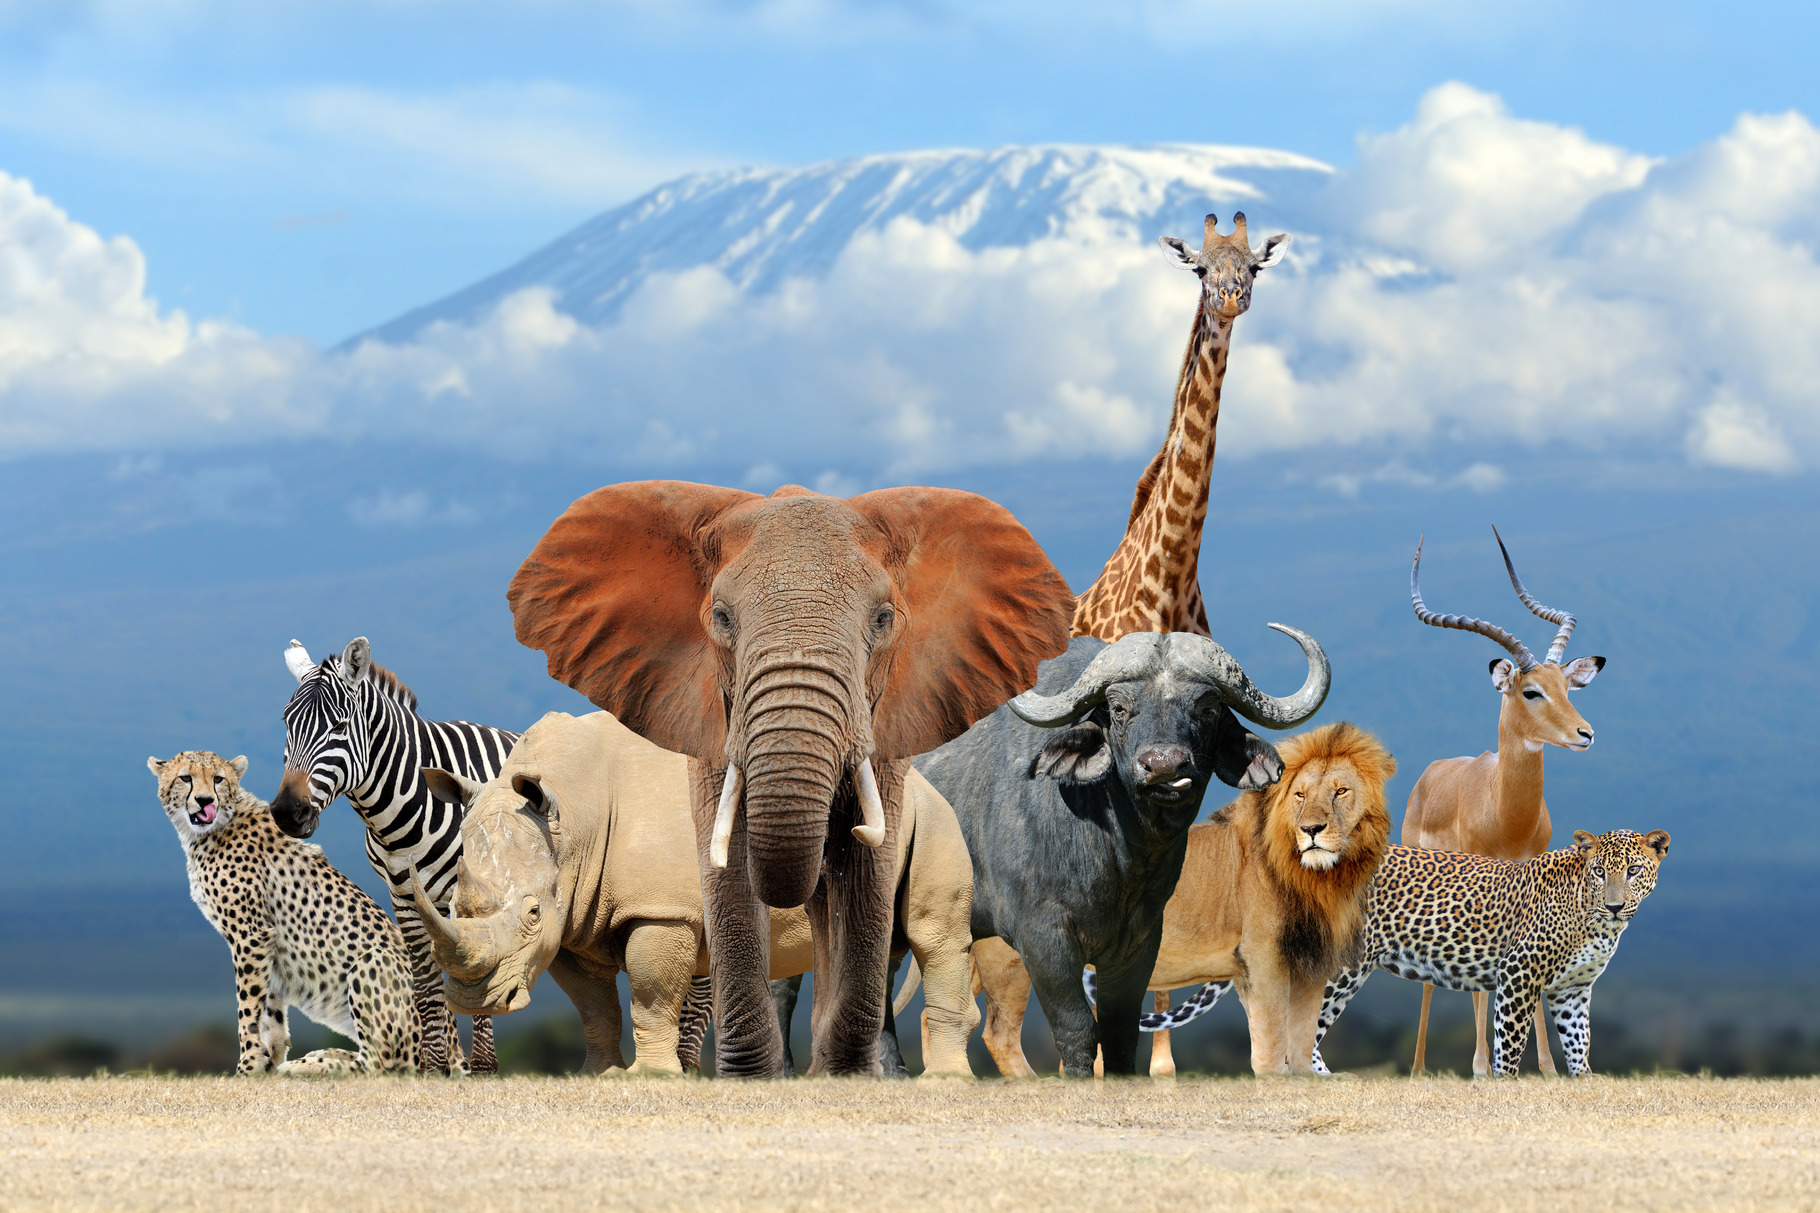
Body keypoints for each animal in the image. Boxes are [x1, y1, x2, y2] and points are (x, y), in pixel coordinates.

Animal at [149, 750, 421, 1075]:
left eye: (218, 779)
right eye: (185, 778)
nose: (205, 801)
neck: (213, 827)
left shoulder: (251, 935)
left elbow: (248, 1008)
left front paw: (247, 1068)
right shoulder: (267, 945)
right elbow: (270, 1008)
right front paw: (268, 1063)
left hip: (373, 961)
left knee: (379, 1063)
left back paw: (309, 1067)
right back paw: (314, 1057)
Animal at [273, 636, 520, 1075]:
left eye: (338, 727)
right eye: (287, 723)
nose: (287, 812)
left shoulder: (473, 892)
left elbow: (477, 968)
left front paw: (483, 1066)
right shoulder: (403, 895)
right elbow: (425, 986)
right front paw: (432, 1068)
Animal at [1310, 827, 1669, 1077]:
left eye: (1633, 871)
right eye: (1599, 872)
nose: (1614, 907)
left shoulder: (1573, 989)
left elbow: (1578, 1039)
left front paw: (1584, 1080)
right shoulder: (1519, 972)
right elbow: (1510, 1039)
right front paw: (1504, 1083)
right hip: (1341, 966)